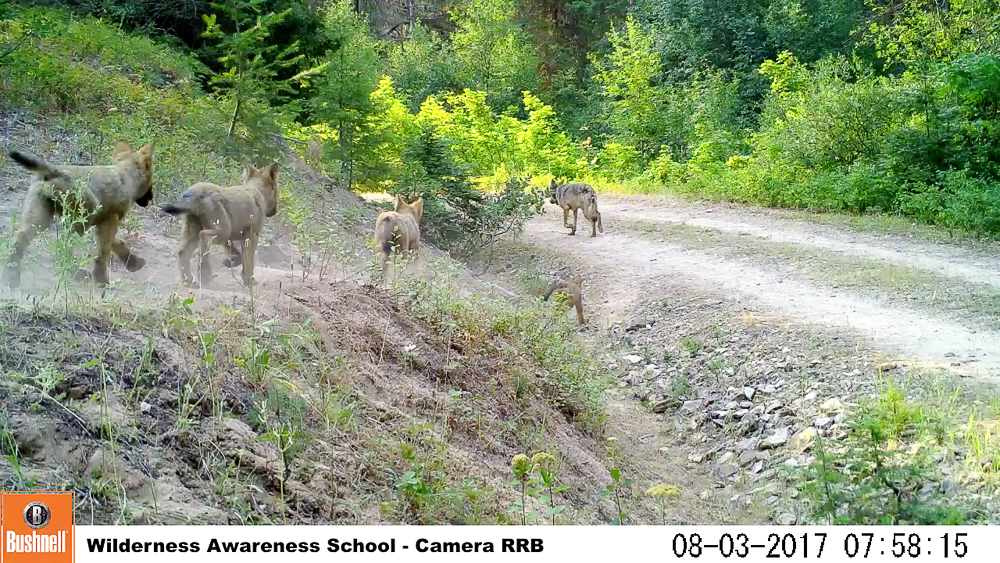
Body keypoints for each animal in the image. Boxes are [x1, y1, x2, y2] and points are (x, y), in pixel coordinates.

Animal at [4, 140, 155, 288]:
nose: (151, 198)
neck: (125, 175)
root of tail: (54, 171)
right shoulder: (110, 221)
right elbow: (103, 253)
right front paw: (102, 280)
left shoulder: (101, 222)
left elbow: (117, 243)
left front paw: (132, 262)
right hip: (83, 218)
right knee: (64, 246)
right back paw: (75, 273)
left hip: (40, 219)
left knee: (18, 242)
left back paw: (12, 278)